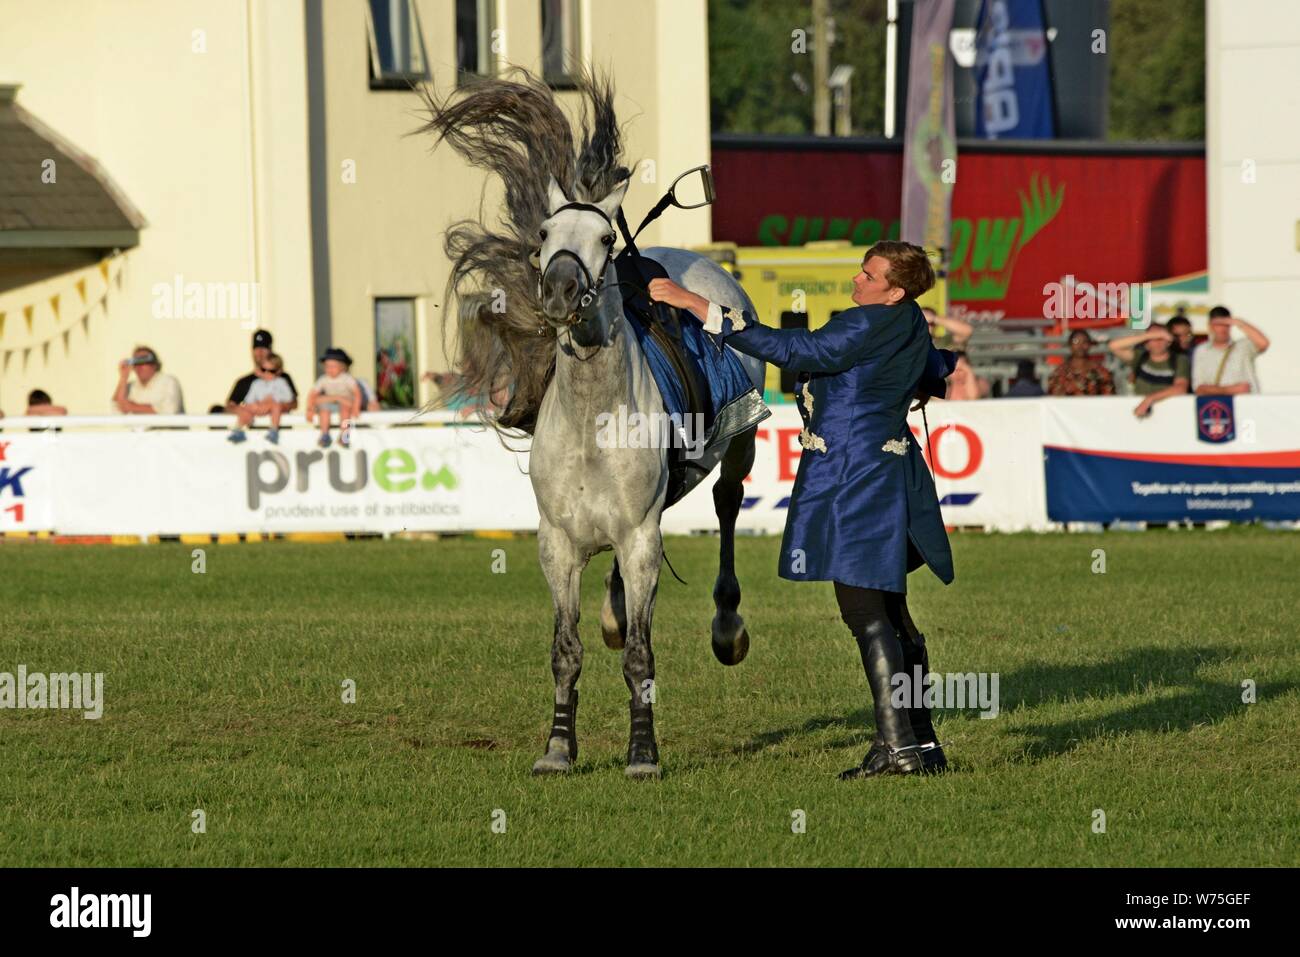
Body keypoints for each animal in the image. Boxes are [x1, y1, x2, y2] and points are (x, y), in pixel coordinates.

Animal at [419, 70, 765, 779]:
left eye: (604, 240)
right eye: (544, 233)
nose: (556, 291)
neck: (590, 419)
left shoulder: (641, 538)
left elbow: (640, 654)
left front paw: (643, 753)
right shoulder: (557, 544)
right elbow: (566, 650)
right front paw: (557, 747)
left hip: (738, 450)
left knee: (726, 505)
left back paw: (726, 624)